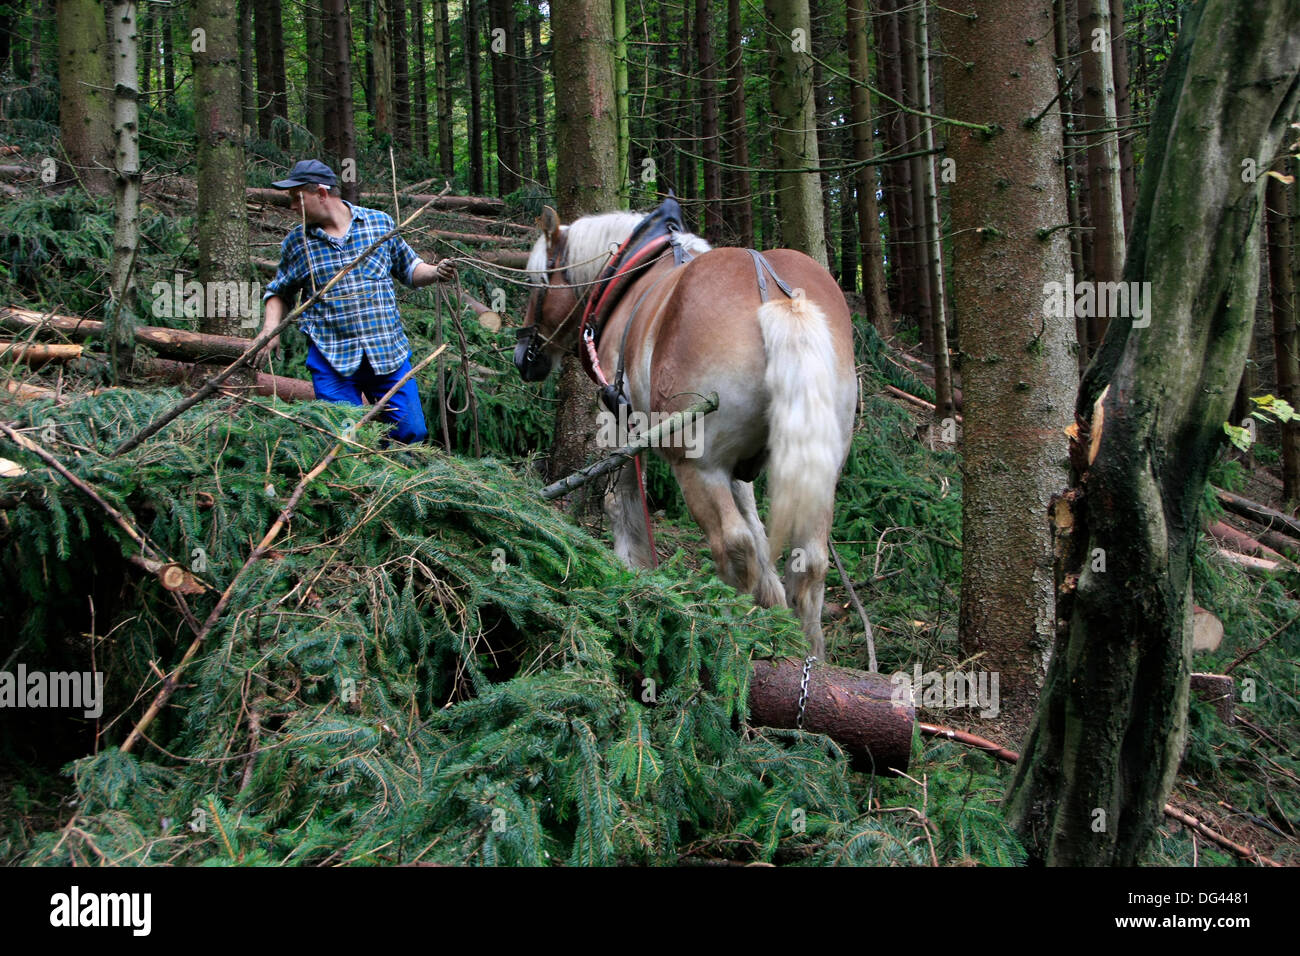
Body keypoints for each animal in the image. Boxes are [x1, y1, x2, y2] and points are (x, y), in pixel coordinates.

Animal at [513, 203, 857, 660]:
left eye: (536, 283)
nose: (523, 356)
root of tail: (775, 297)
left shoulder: (619, 422)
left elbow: (621, 503)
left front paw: (636, 574)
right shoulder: (738, 464)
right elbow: (757, 523)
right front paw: (772, 603)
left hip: (697, 464)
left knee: (733, 544)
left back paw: (736, 635)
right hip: (820, 468)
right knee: (808, 559)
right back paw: (805, 650)